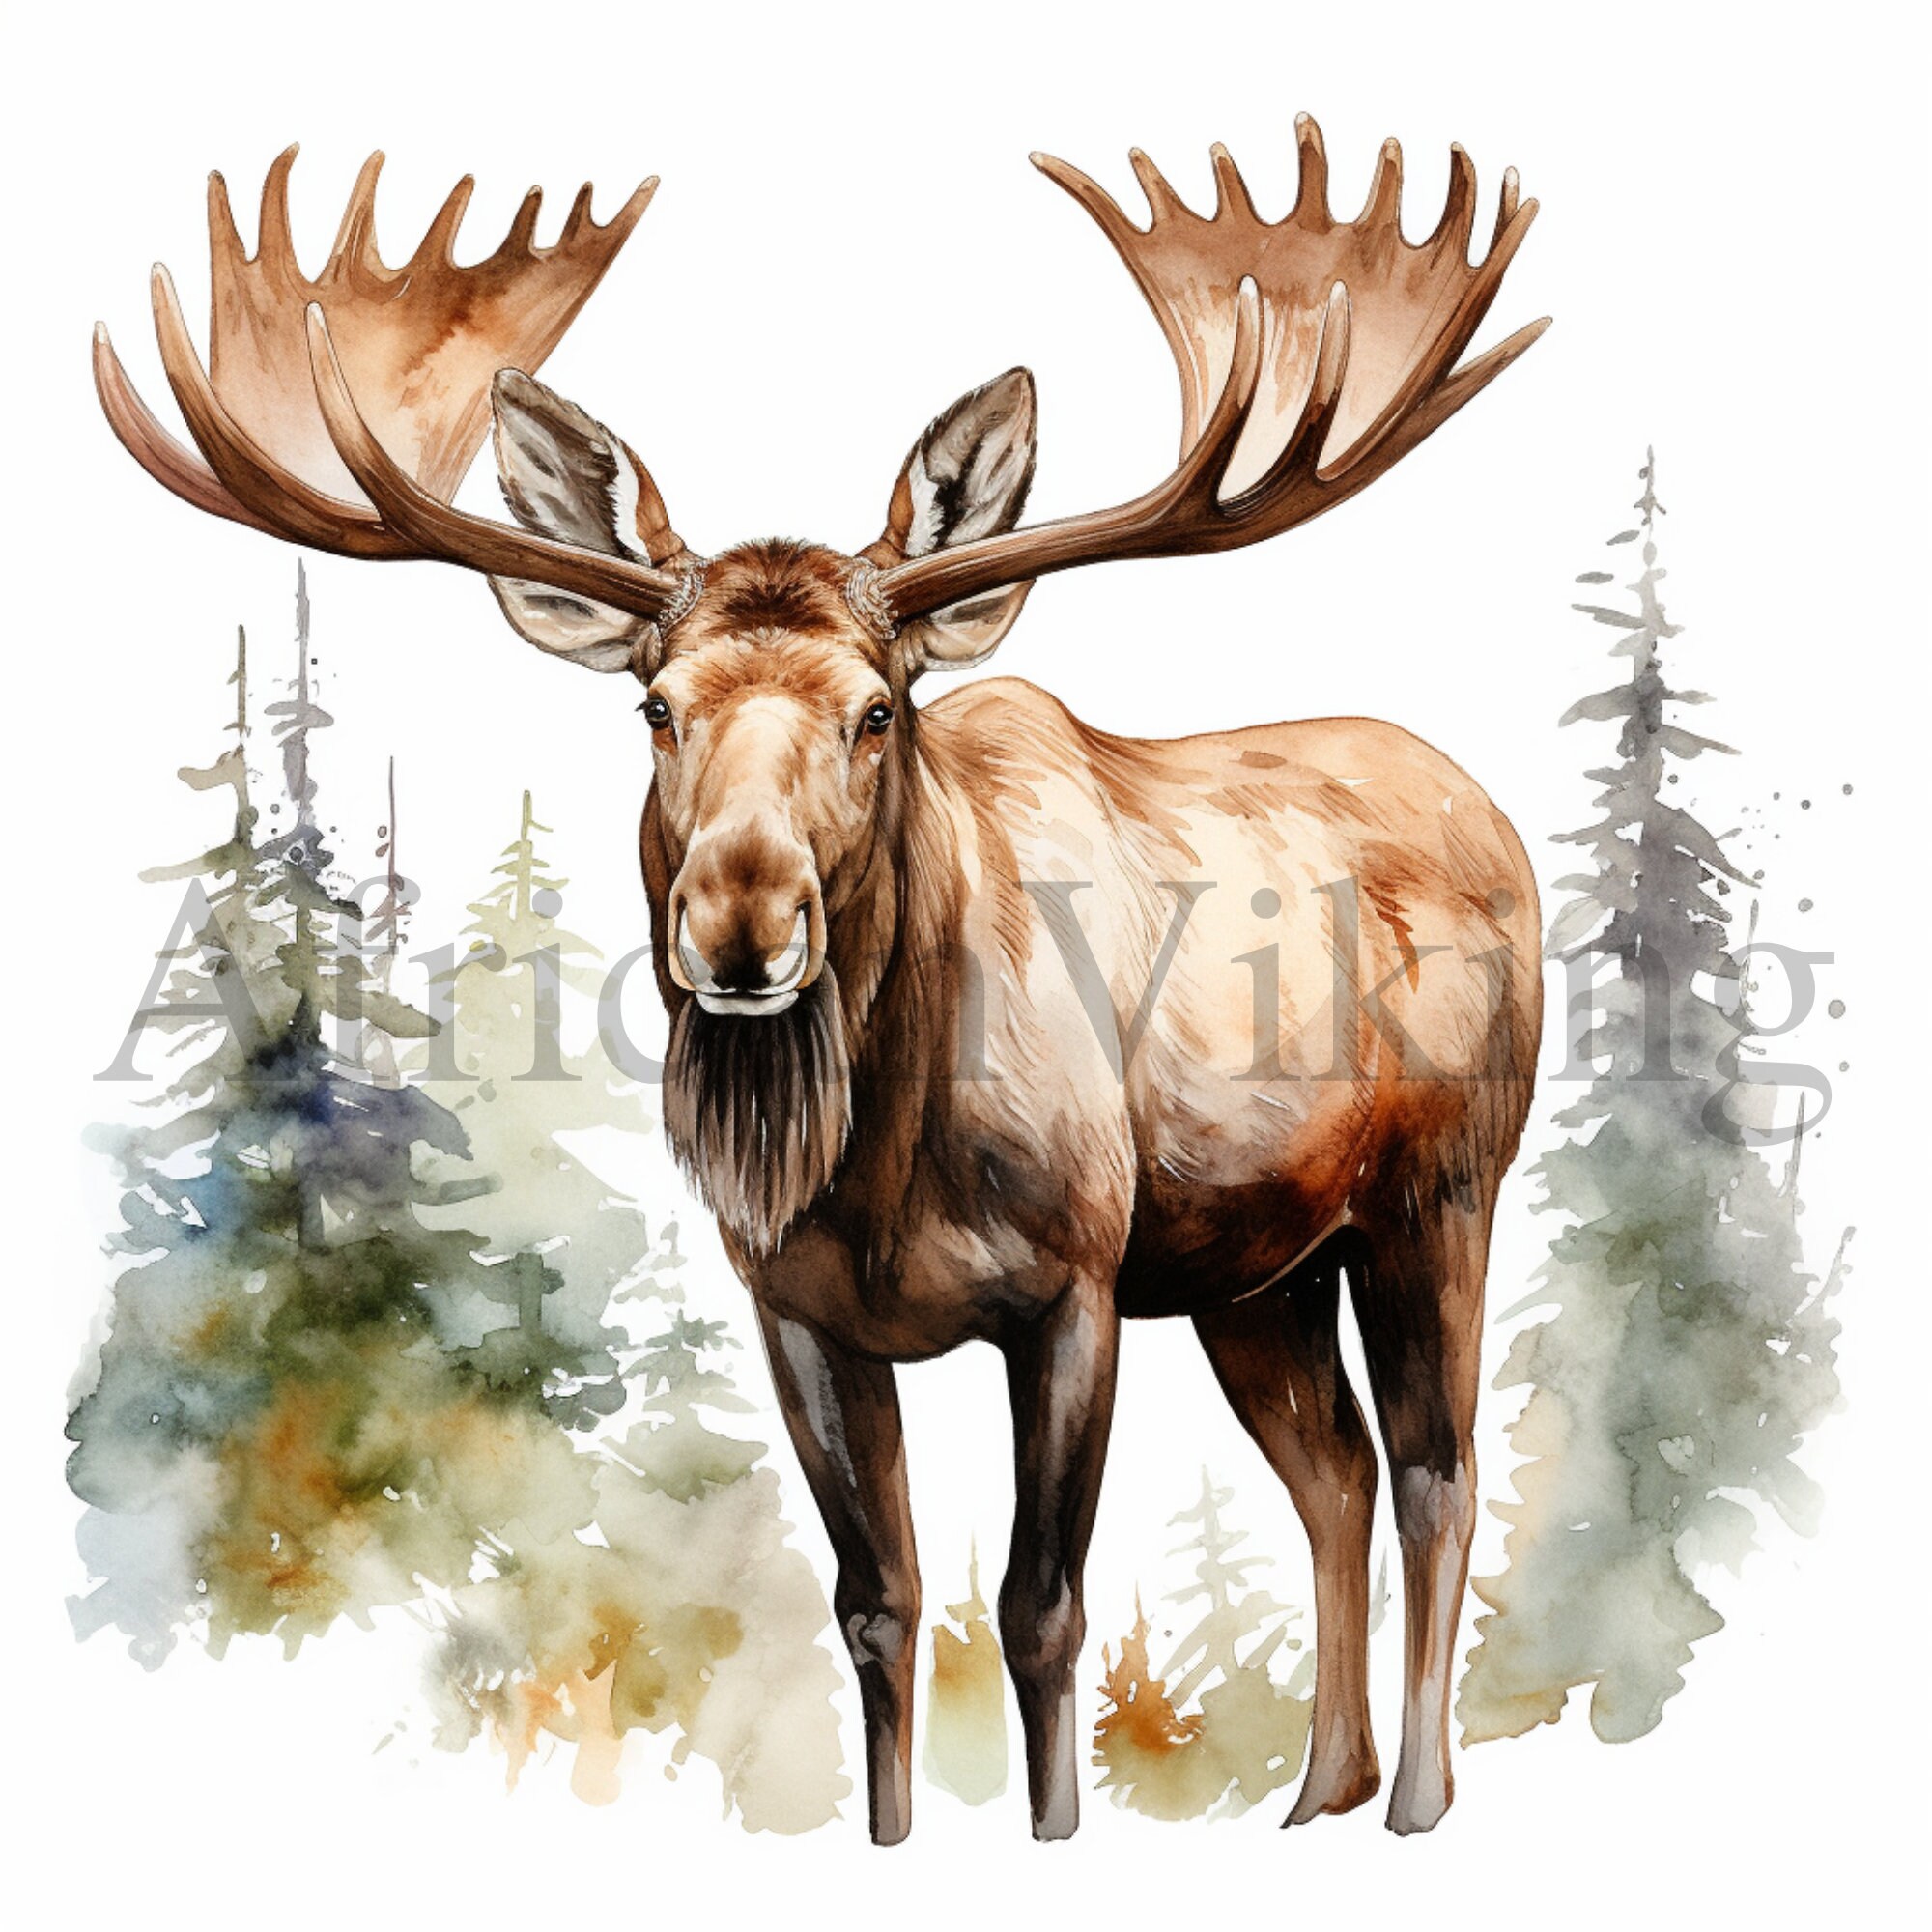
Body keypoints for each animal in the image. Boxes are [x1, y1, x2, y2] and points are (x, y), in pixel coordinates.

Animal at [95, 121, 1546, 1843]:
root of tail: (1491, 814)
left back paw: (1417, 1804)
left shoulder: (1074, 1281)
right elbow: (878, 1604)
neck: (880, 1173)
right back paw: (1323, 1793)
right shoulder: (795, 1308)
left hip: (1439, 1189)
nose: (739, 925)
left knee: (1438, 1475)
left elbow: (1041, 1607)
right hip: (1253, 1264)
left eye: (876, 708)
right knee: (1331, 1474)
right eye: (655, 706)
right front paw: (893, 1831)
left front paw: (1053, 1833)